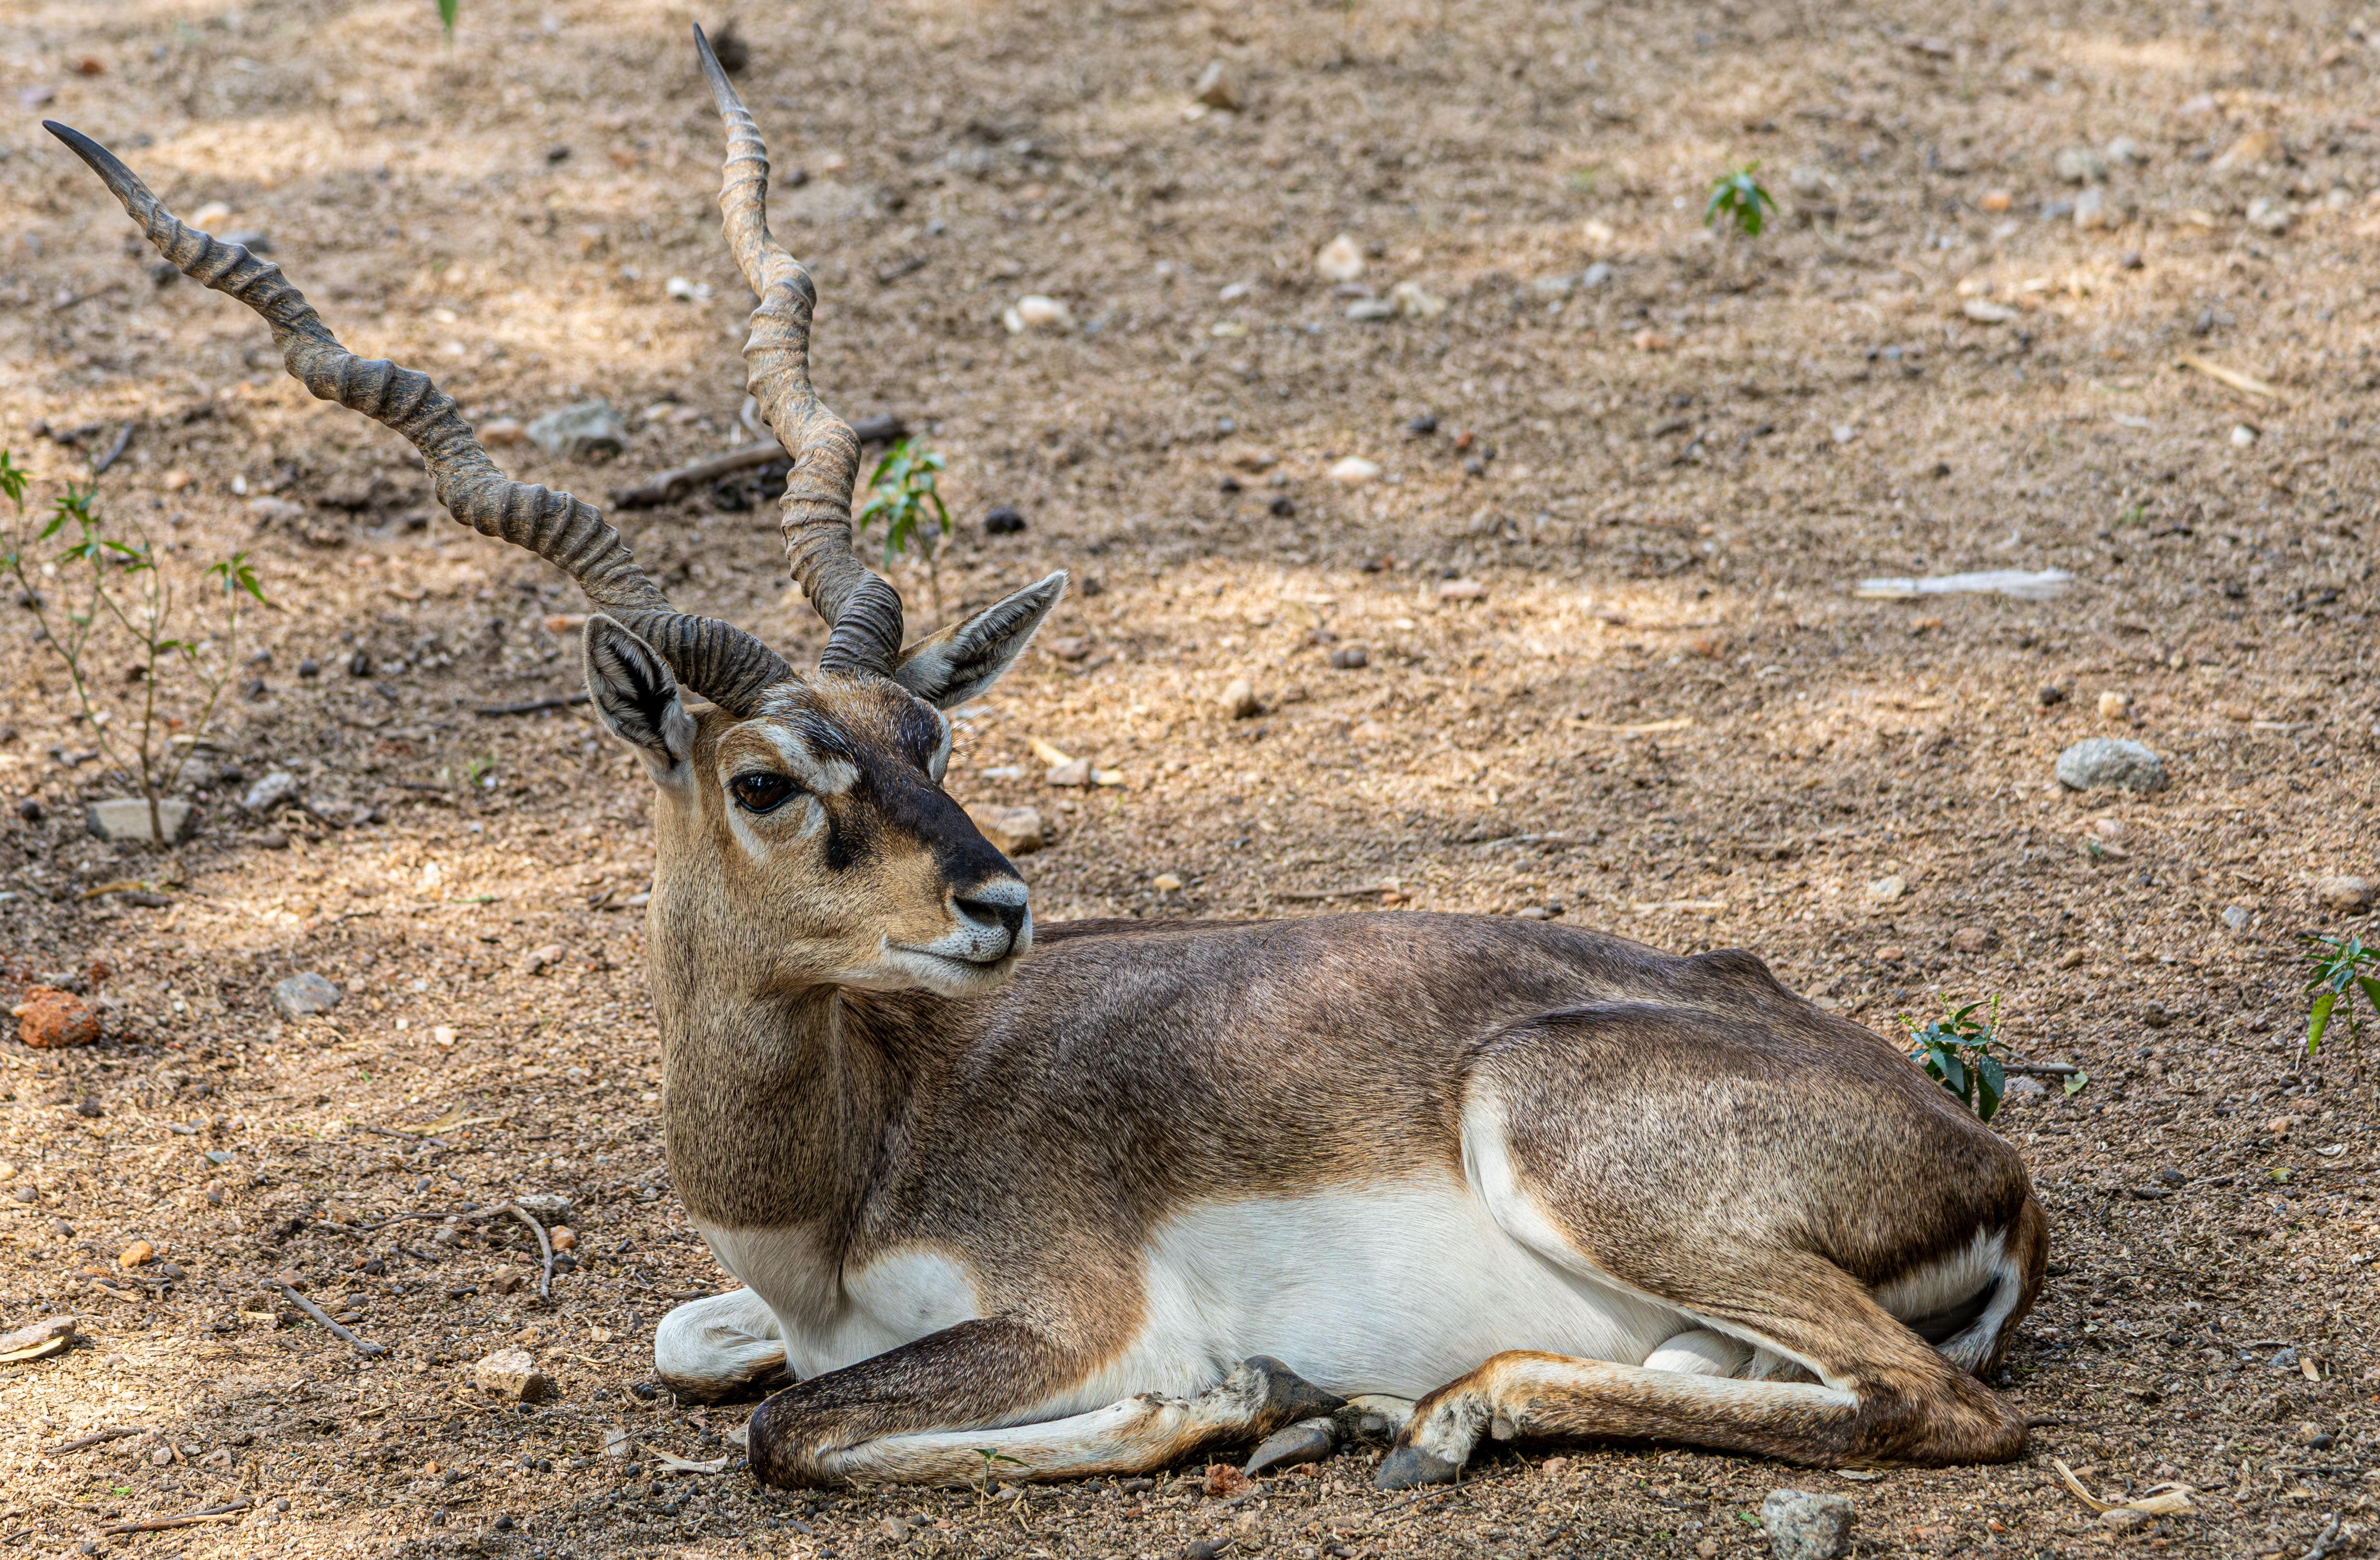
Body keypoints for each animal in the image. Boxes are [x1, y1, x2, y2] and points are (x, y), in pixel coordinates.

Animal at [46, 34, 2044, 1492]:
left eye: (928, 732)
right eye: (770, 774)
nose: (996, 901)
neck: (834, 1167)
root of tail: (1980, 1156)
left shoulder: (1056, 1308)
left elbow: (797, 1430)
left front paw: (1230, 1398)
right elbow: (705, 1355)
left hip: (1551, 1130)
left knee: (1925, 1401)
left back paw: (1417, 1409)